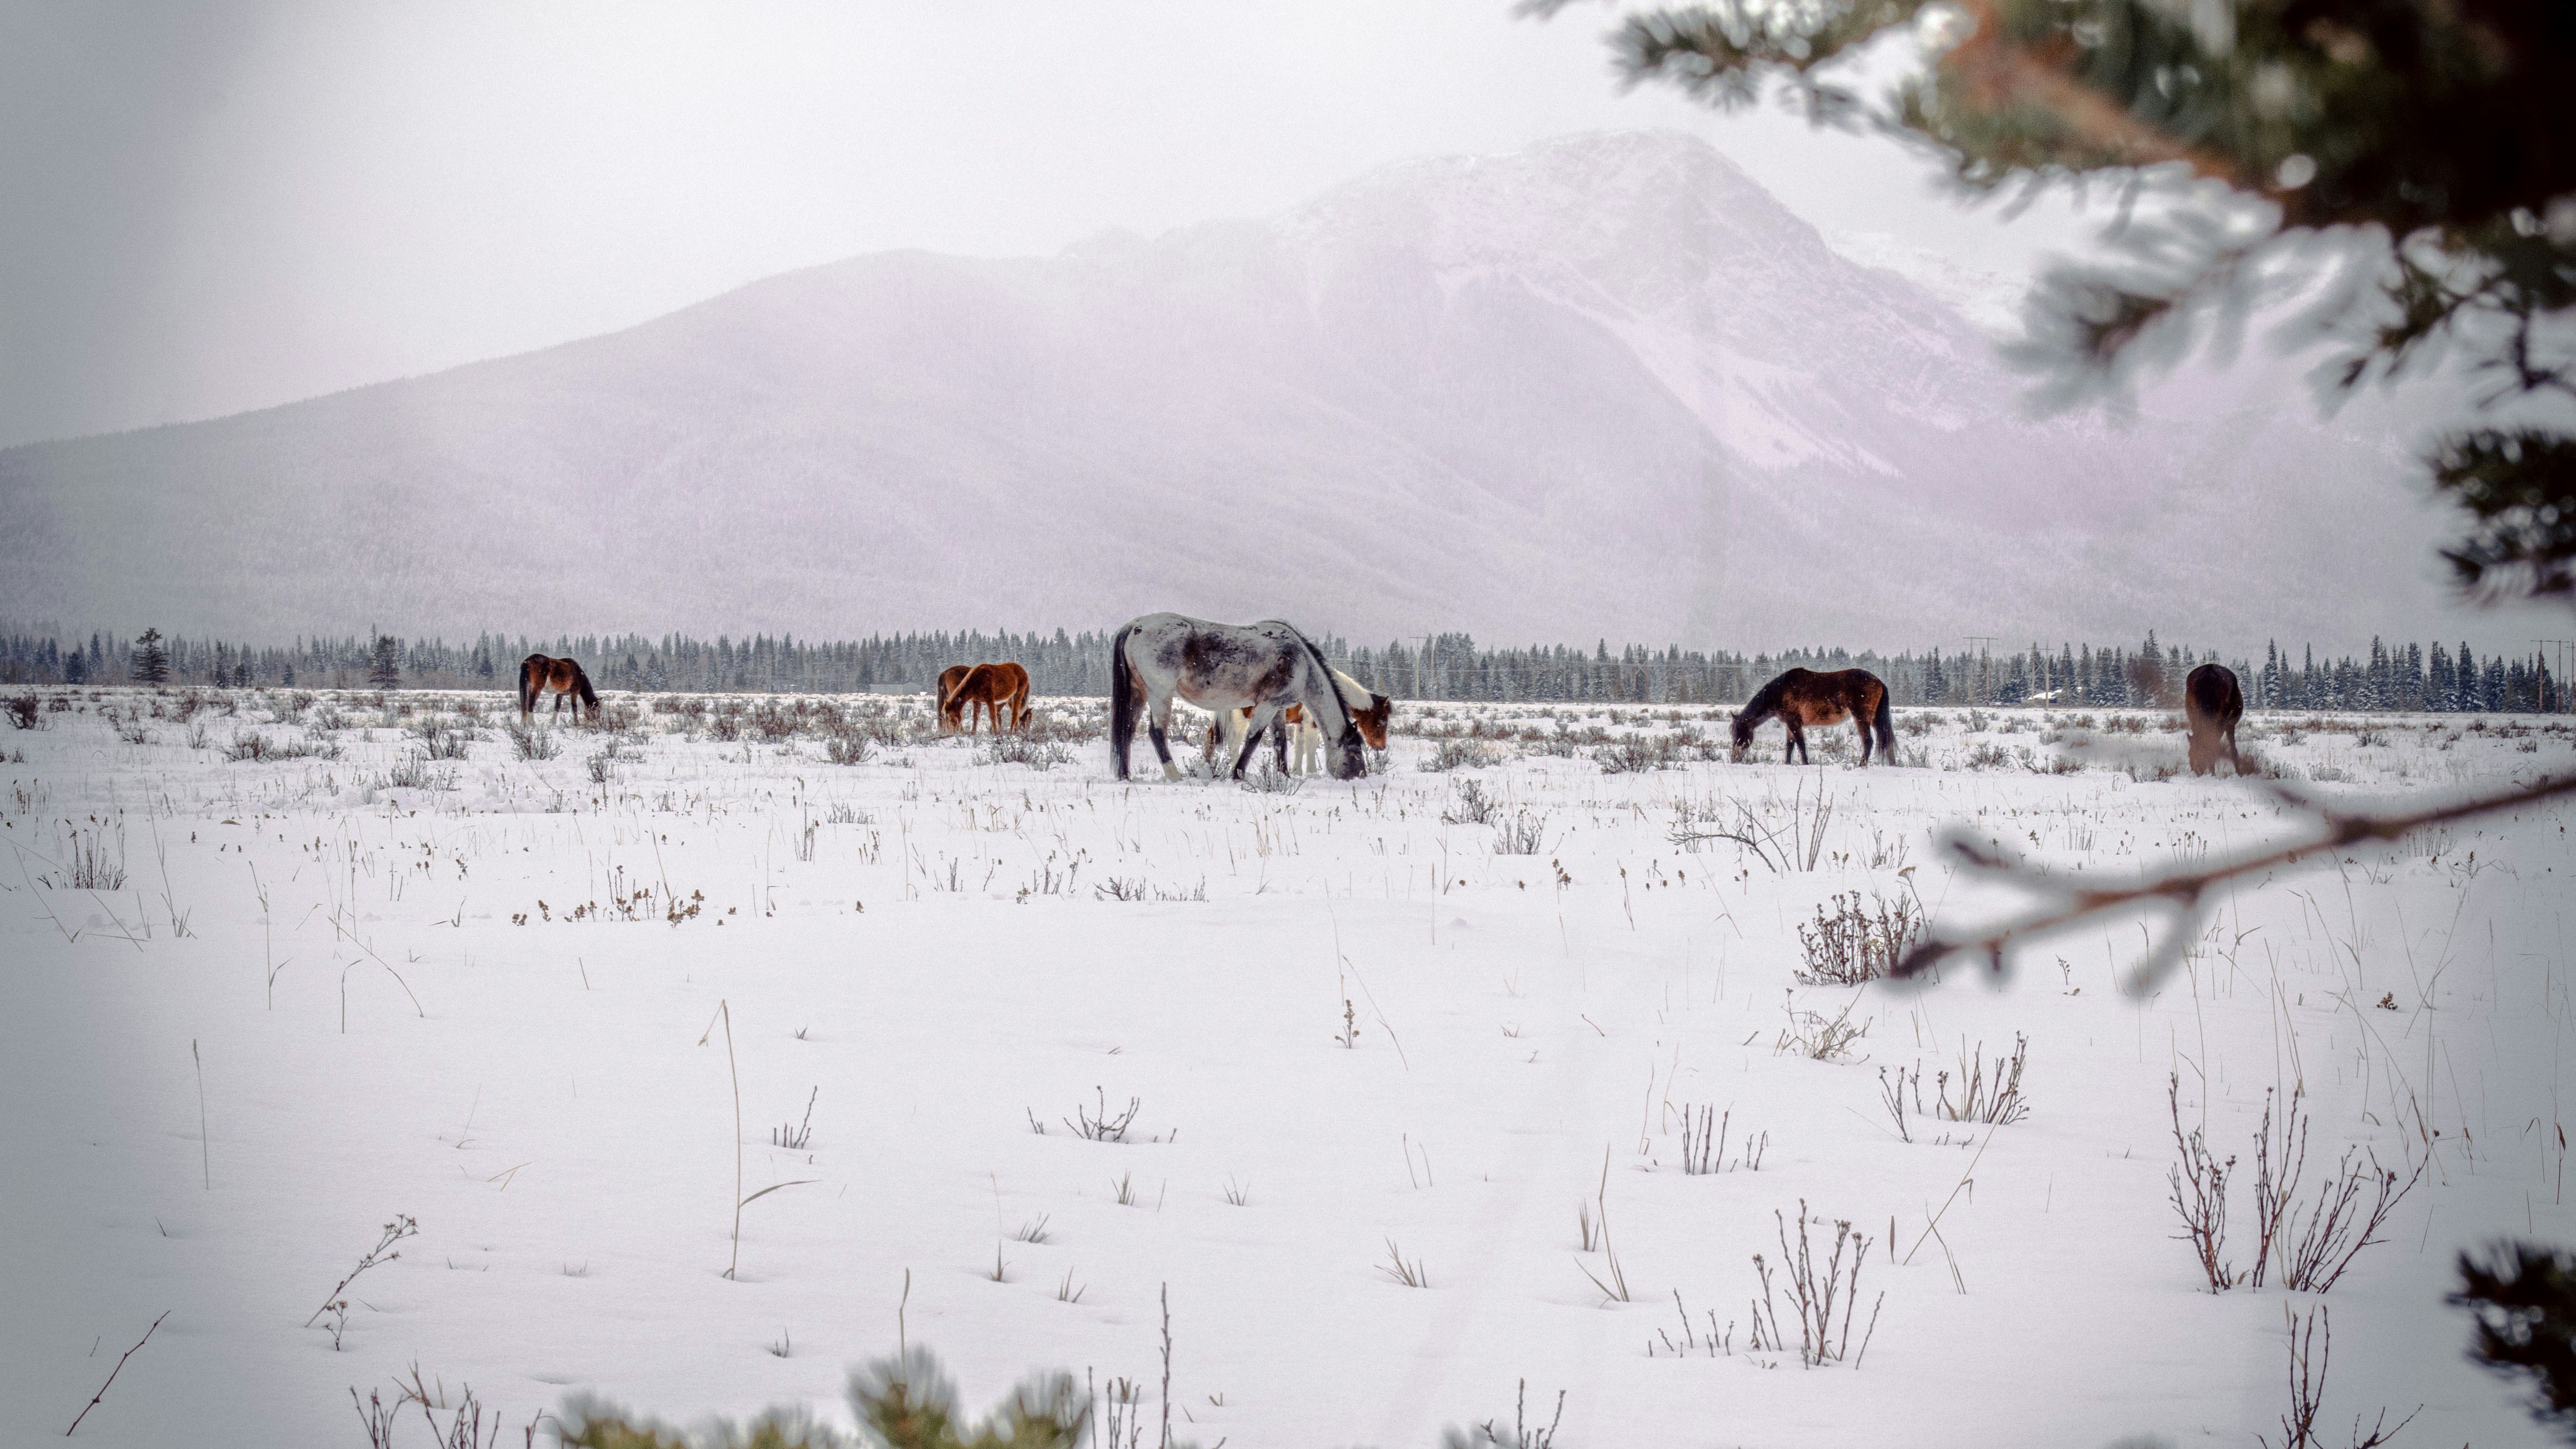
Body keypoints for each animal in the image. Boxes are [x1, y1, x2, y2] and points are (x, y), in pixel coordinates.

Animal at [519, 654, 599, 724]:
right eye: (596, 708)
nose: (597, 721)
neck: (579, 674)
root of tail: (527, 662)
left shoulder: (560, 693)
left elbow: (557, 706)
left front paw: (553, 722)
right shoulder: (575, 692)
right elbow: (575, 707)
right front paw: (577, 724)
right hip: (537, 689)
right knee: (531, 704)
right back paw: (532, 724)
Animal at [943, 662, 1031, 735]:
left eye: (950, 715)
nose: (953, 729)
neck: (975, 681)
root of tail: (1024, 671)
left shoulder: (990, 700)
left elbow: (993, 717)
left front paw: (996, 733)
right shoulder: (977, 701)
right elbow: (976, 717)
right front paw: (973, 733)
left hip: (1018, 694)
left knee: (1015, 713)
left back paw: (1011, 732)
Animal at [1110, 613, 1378, 781]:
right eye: (1355, 752)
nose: (1361, 777)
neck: (1301, 663)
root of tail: (1133, 626)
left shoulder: (1278, 708)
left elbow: (1280, 741)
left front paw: (1284, 775)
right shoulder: (1266, 705)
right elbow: (1254, 739)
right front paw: (1238, 774)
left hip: (1138, 692)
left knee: (1127, 731)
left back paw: (1125, 776)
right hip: (1160, 694)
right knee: (1157, 733)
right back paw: (1175, 776)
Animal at [1731, 667, 1895, 766]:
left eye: (1739, 734)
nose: (1734, 759)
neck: (1780, 692)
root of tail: (1879, 682)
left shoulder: (1794, 723)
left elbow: (1801, 745)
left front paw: (1805, 764)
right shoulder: (1790, 725)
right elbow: (1789, 746)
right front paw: (1788, 764)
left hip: (1861, 718)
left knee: (1868, 741)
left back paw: (1861, 766)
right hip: (1874, 719)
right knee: (1887, 739)